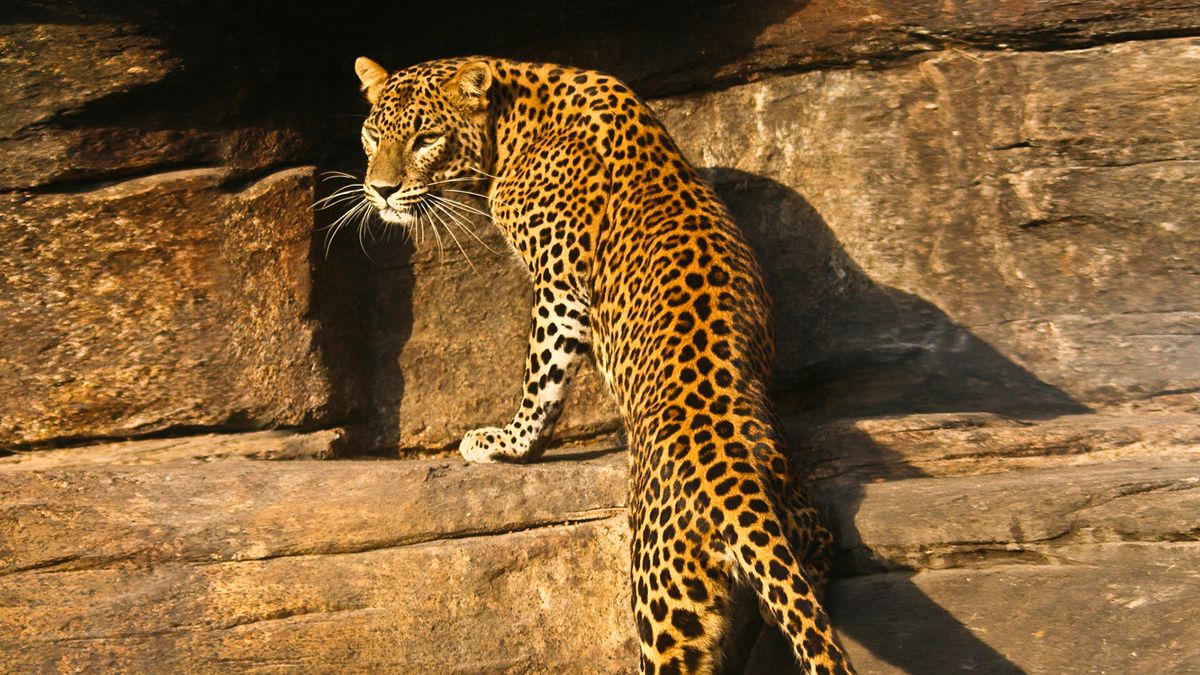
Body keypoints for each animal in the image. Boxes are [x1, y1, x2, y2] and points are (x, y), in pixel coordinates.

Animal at [351, 55, 855, 675]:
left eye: (426, 139)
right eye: (373, 135)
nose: (380, 191)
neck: (514, 118)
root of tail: (739, 485)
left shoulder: (561, 286)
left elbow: (541, 377)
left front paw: (506, 444)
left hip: (665, 598)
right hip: (801, 532)